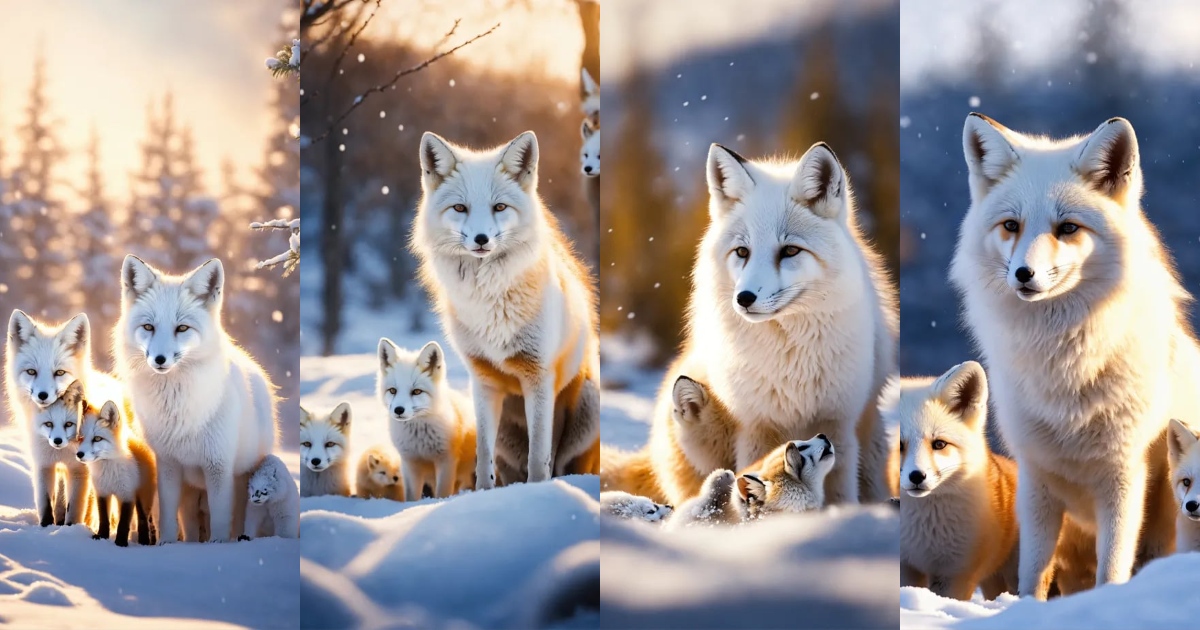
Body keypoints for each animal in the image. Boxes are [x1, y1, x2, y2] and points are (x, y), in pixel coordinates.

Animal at [74, 390, 157, 547]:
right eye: (80, 438)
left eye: (97, 439)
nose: (79, 454)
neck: (109, 471)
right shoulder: (102, 492)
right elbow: (104, 519)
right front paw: (102, 537)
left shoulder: (127, 494)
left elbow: (123, 523)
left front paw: (120, 543)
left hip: (142, 499)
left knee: (144, 520)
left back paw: (144, 542)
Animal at [116, 255, 277, 543]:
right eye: (148, 327)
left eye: (182, 328)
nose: (159, 359)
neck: (177, 410)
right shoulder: (168, 462)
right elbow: (167, 516)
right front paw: (167, 545)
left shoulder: (218, 465)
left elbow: (222, 519)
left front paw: (218, 545)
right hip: (190, 494)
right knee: (190, 526)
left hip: (241, 482)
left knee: (237, 519)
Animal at [378, 339, 476, 499]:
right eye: (392, 390)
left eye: (417, 391)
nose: (398, 410)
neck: (420, 441)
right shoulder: (410, 463)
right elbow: (411, 497)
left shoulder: (446, 460)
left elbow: (442, 493)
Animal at [412, 130, 600, 489]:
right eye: (460, 208)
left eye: (499, 207)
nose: (481, 239)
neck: (490, 304)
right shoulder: (483, 379)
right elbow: (484, 456)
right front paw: (487, 494)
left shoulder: (539, 376)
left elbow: (539, 459)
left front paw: (538, 493)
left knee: (564, 463)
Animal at [951, 114, 1187, 596]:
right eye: (1011, 225)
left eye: (1068, 228)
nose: (1023, 274)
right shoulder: (1037, 475)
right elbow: (1032, 575)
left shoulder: (1124, 475)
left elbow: (1112, 571)